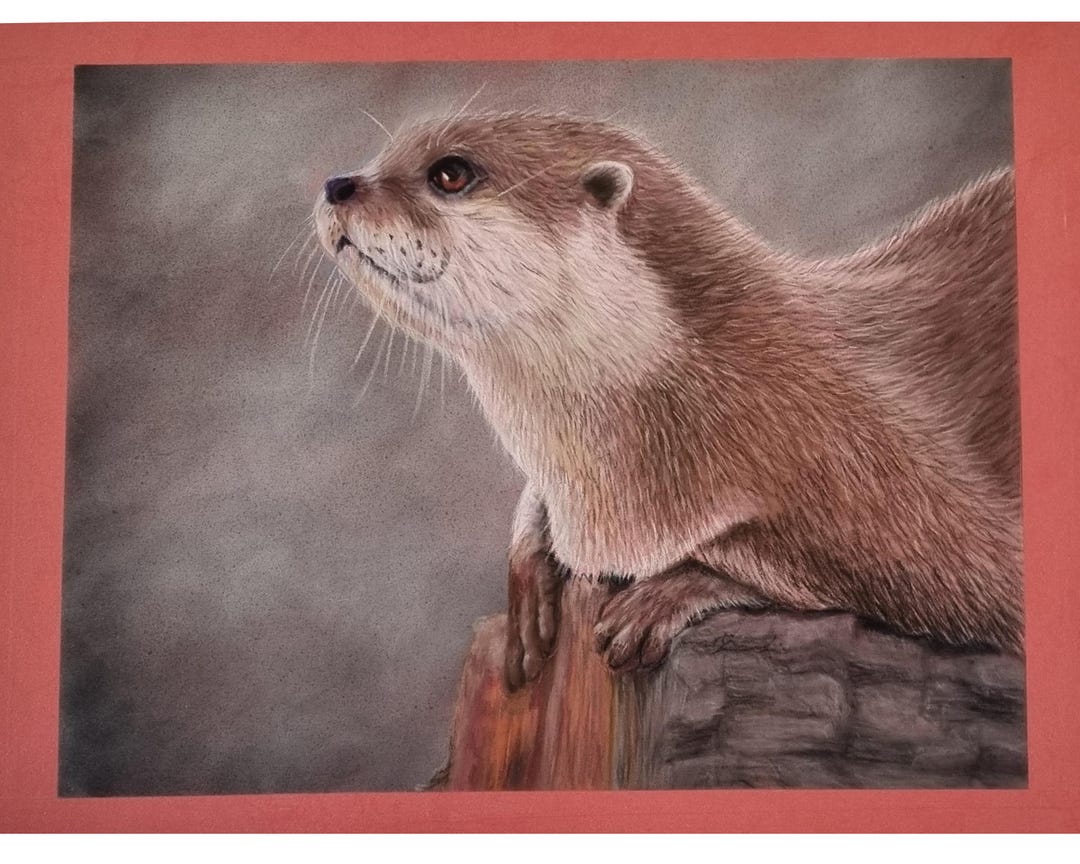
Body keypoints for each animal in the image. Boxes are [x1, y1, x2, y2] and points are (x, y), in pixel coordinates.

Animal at [313, 112, 1022, 691]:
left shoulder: (878, 474)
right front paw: (528, 574)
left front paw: (669, 593)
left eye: (451, 173)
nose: (339, 184)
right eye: (387, 153)